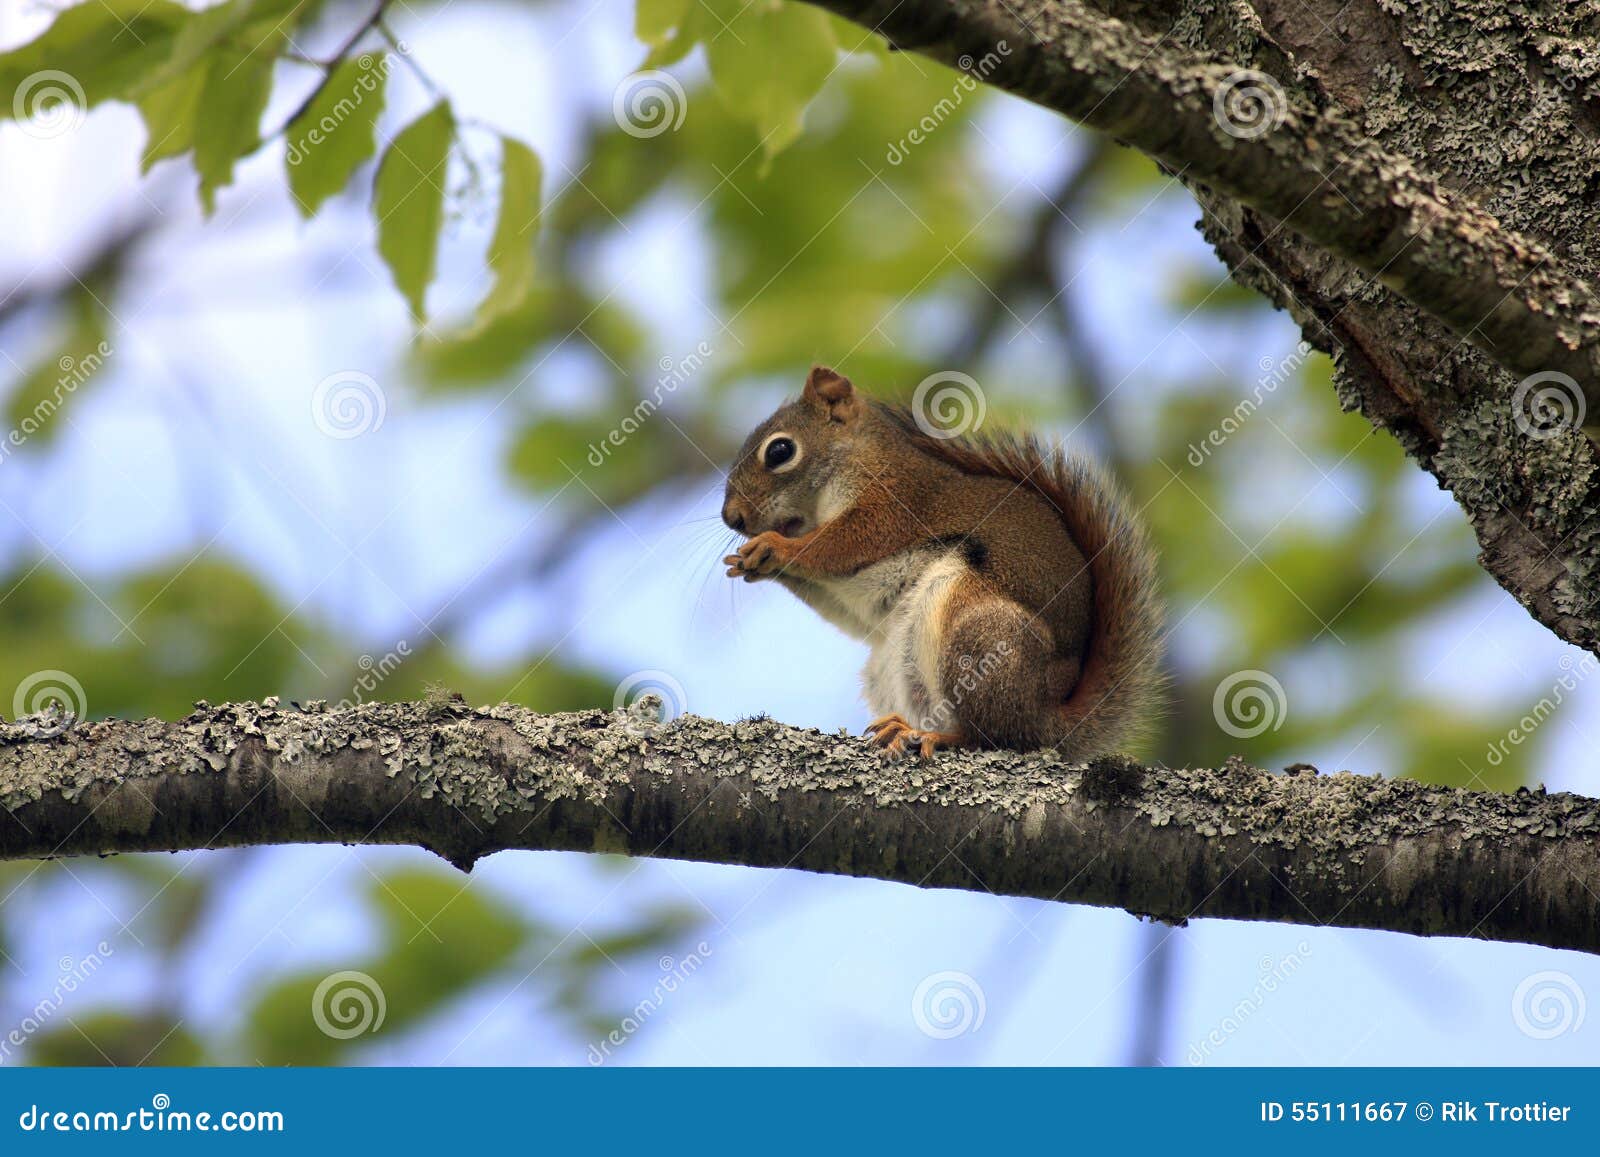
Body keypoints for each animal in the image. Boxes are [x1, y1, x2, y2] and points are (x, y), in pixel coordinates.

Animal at [720, 366, 1165, 761]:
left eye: (780, 450)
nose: (732, 517)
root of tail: (1048, 721)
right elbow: (850, 607)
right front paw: (749, 562)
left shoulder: (894, 502)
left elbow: (842, 545)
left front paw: (775, 548)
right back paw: (902, 727)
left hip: (979, 632)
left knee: (995, 736)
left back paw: (942, 736)